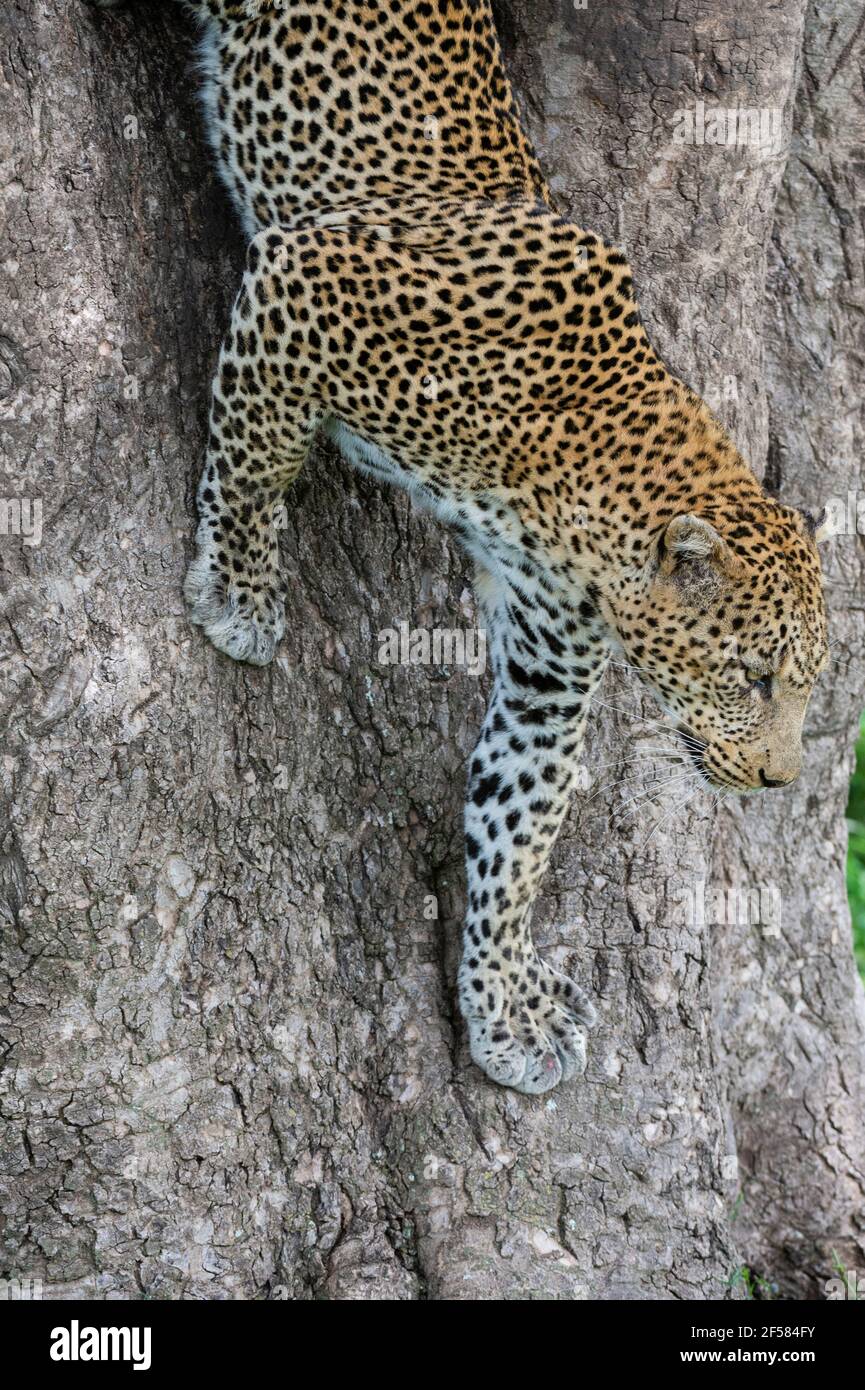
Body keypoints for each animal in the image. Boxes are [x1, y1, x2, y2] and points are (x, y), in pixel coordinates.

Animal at [89, 0, 829, 1095]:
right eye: (749, 678)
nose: (781, 782)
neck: (585, 452)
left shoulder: (549, 661)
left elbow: (519, 821)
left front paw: (506, 1004)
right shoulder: (312, 277)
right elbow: (264, 446)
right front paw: (238, 591)